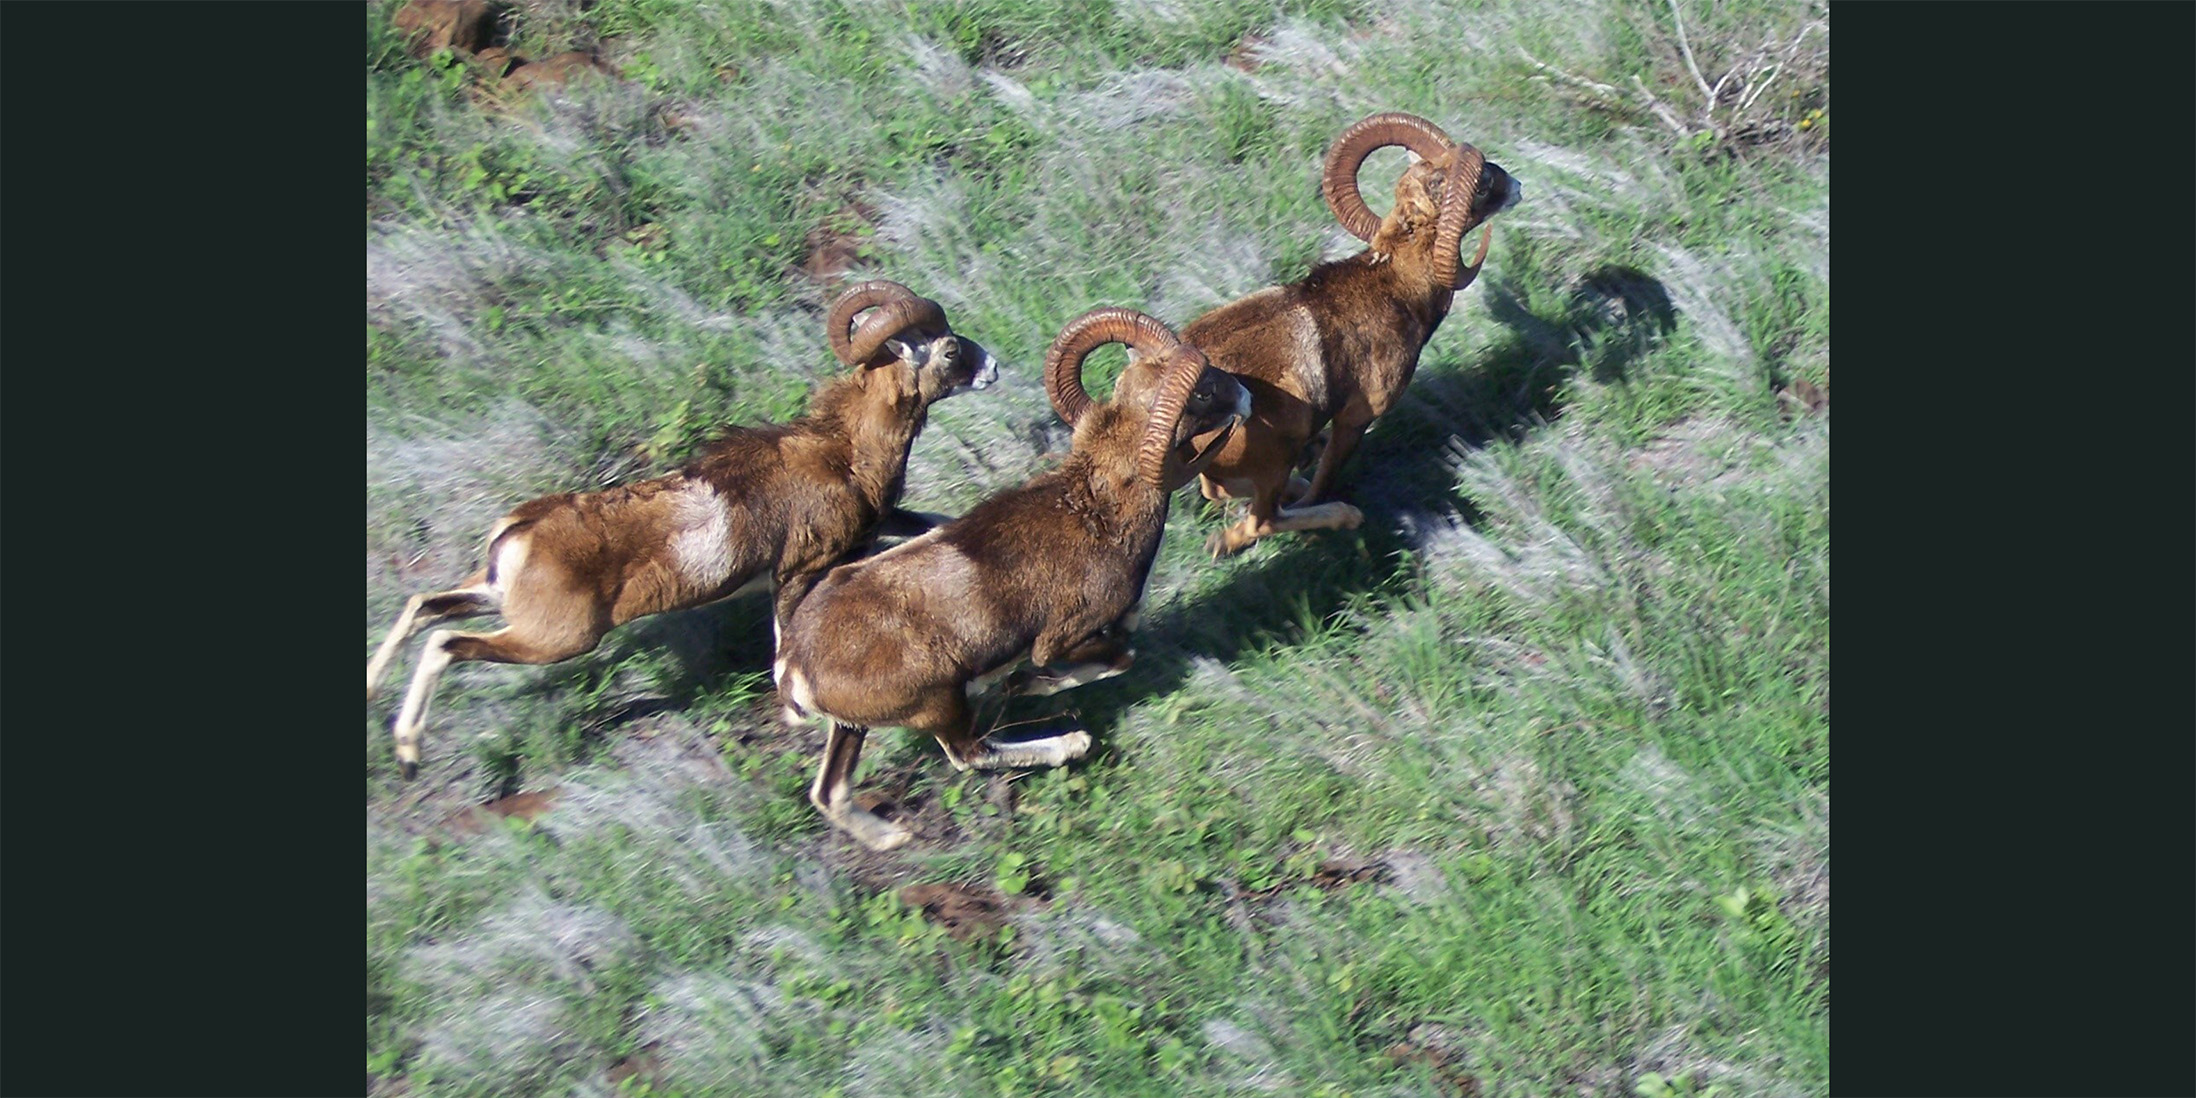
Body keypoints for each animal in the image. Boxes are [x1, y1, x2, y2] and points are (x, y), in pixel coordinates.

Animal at [366, 280, 1000, 778]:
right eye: (949, 350)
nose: (992, 367)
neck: (845, 452)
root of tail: (519, 533)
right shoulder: (798, 574)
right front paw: (796, 716)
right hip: (553, 640)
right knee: (445, 642)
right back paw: (407, 752)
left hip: (493, 598)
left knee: (423, 607)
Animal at [774, 308, 1251, 850]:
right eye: (1204, 393)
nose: (1246, 395)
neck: (1100, 514)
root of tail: (794, 664)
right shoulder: (1066, 639)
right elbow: (1114, 659)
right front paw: (1024, 684)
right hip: (941, 704)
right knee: (969, 753)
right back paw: (1072, 743)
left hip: (852, 728)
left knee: (830, 791)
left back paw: (891, 839)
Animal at [1184, 111, 1523, 556]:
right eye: (1481, 185)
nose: (1517, 186)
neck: (1394, 288)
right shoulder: (1356, 419)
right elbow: (1325, 479)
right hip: (1280, 451)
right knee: (1263, 520)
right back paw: (1338, 517)